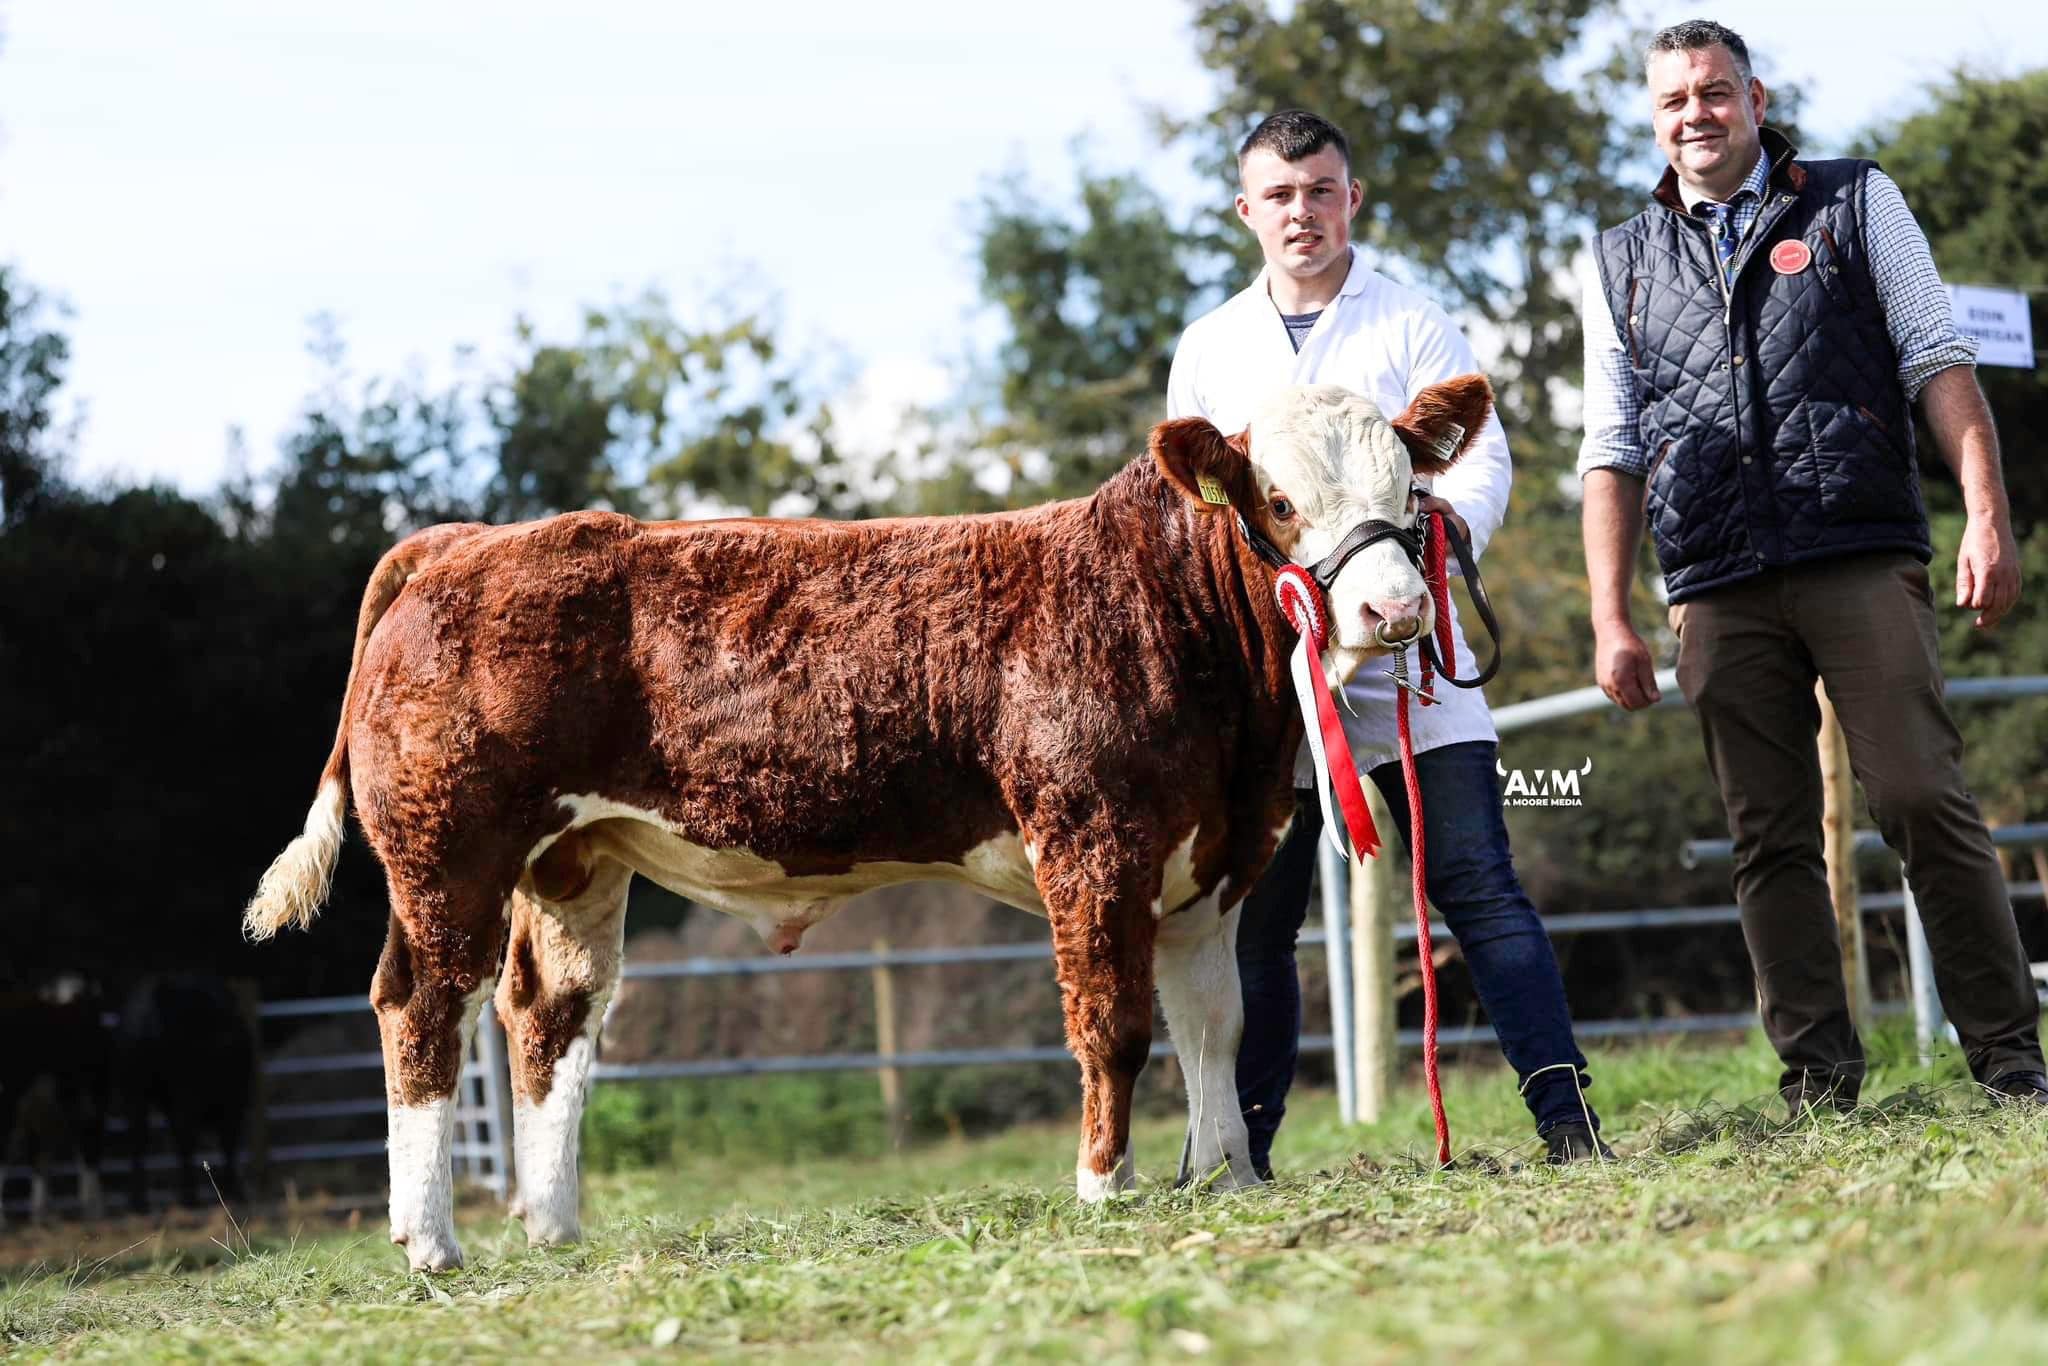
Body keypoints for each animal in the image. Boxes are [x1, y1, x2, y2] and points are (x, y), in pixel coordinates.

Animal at [244, 378, 1492, 1271]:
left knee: (545, 1013)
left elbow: (1212, 1031)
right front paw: (1104, 1188)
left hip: (570, 857)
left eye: (1410, 492)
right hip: (447, 850)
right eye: (1279, 501)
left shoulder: (1216, 864)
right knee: (421, 1005)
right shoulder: (1093, 840)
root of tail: (461, 541)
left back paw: (552, 1227)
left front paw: (1227, 1179)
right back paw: (430, 1241)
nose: (1396, 609)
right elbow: (1114, 1025)